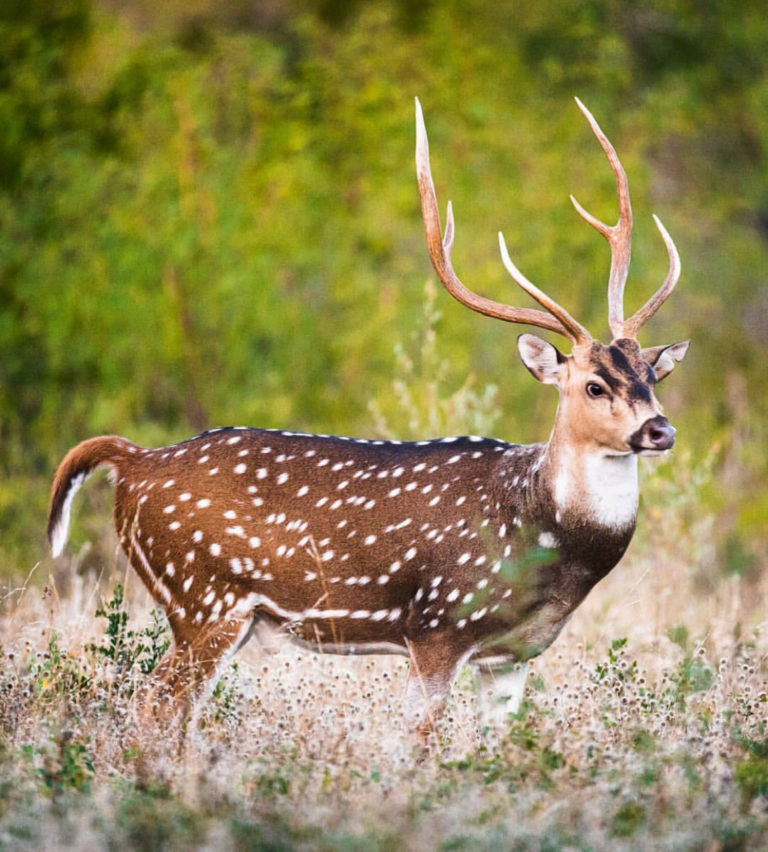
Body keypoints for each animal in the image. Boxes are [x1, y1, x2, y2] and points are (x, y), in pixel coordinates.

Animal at [48, 98, 689, 738]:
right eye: (593, 385)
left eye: (653, 376)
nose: (660, 430)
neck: (540, 530)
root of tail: (134, 461)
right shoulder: (437, 624)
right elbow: (418, 742)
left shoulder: (513, 655)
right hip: (203, 596)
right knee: (152, 704)